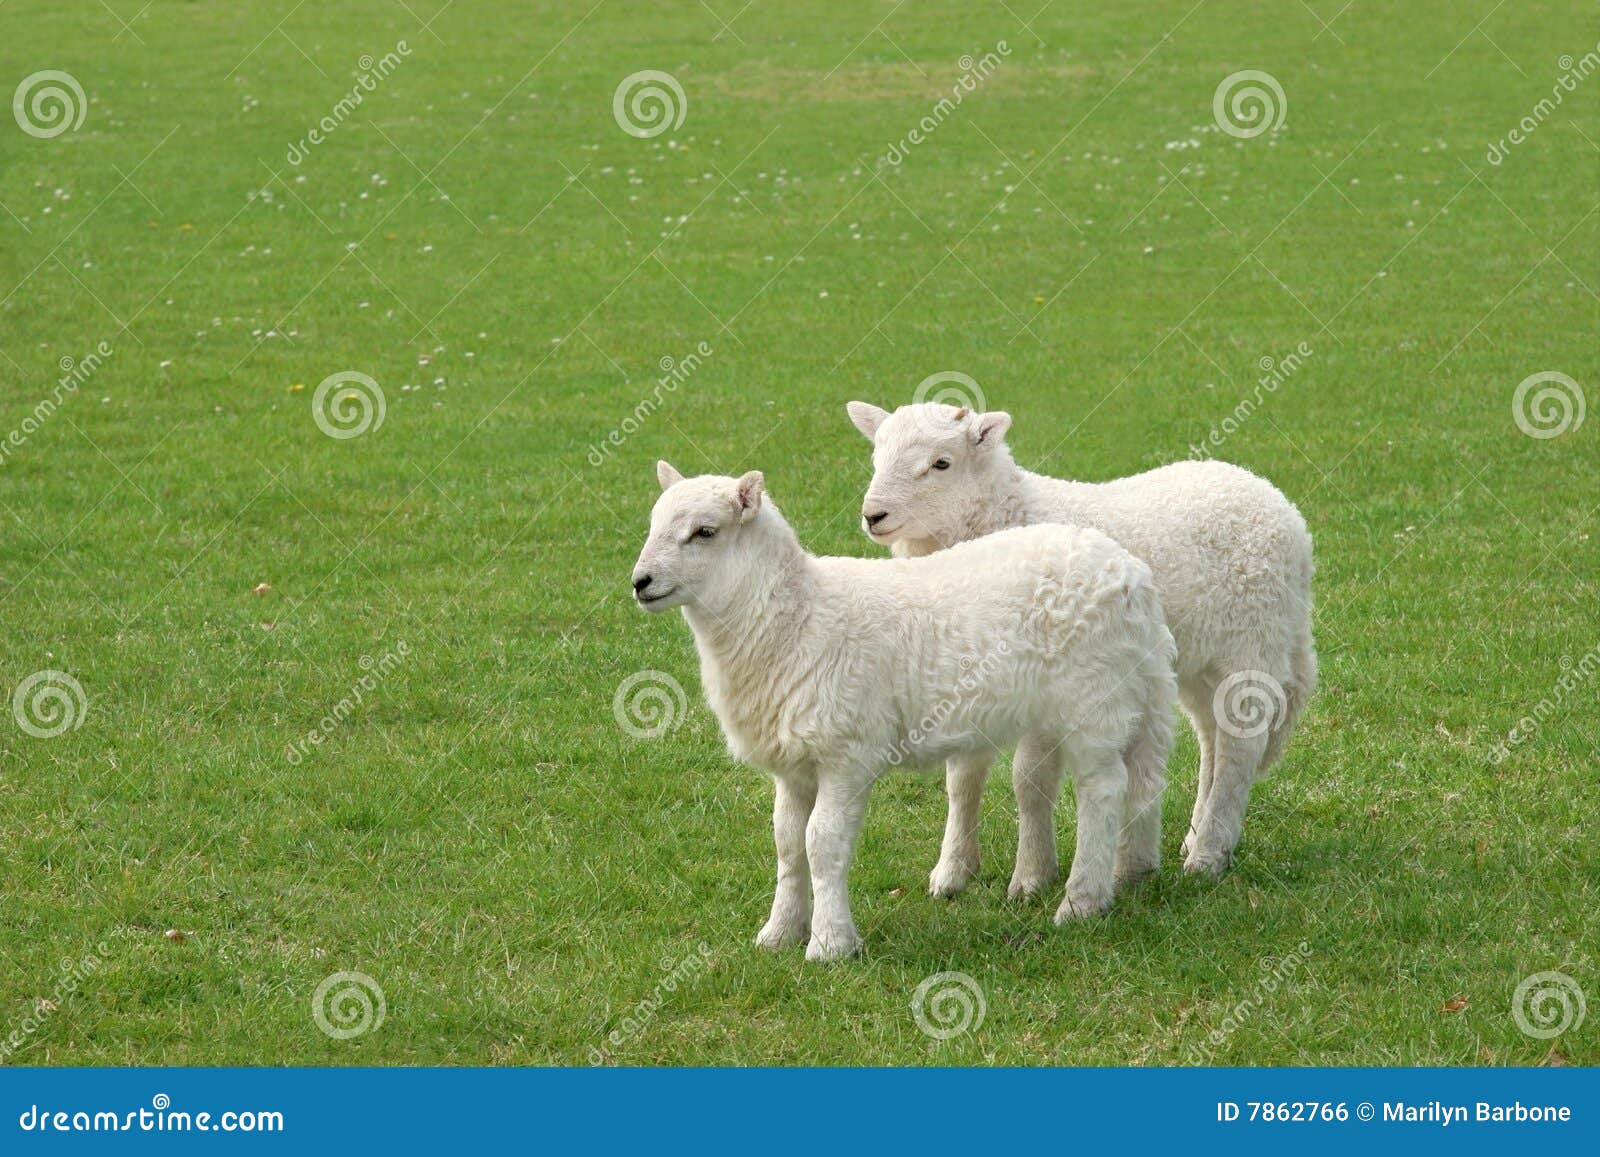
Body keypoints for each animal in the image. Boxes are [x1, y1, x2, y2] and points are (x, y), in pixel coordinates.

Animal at [631, 461, 1178, 961]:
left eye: (704, 532)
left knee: (1102, 790)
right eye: (653, 524)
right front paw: (779, 932)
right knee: (1137, 777)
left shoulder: (847, 753)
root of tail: (1133, 574)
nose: (640, 581)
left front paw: (829, 944)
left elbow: (822, 842)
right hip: (1111, 696)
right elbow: (787, 842)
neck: (796, 619)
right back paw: (1129, 873)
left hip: (1096, 699)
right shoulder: (794, 765)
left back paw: (1082, 901)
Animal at [846, 400, 1316, 881]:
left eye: (941, 463)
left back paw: (1208, 854)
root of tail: (1286, 512)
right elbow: (961, 777)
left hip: (1253, 639)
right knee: (1211, 734)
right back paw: (1196, 834)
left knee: (1242, 743)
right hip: (1199, 658)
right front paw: (954, 871)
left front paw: (1032, 874)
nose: (873, 515)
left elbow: (1028, 777)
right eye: (876, 455)